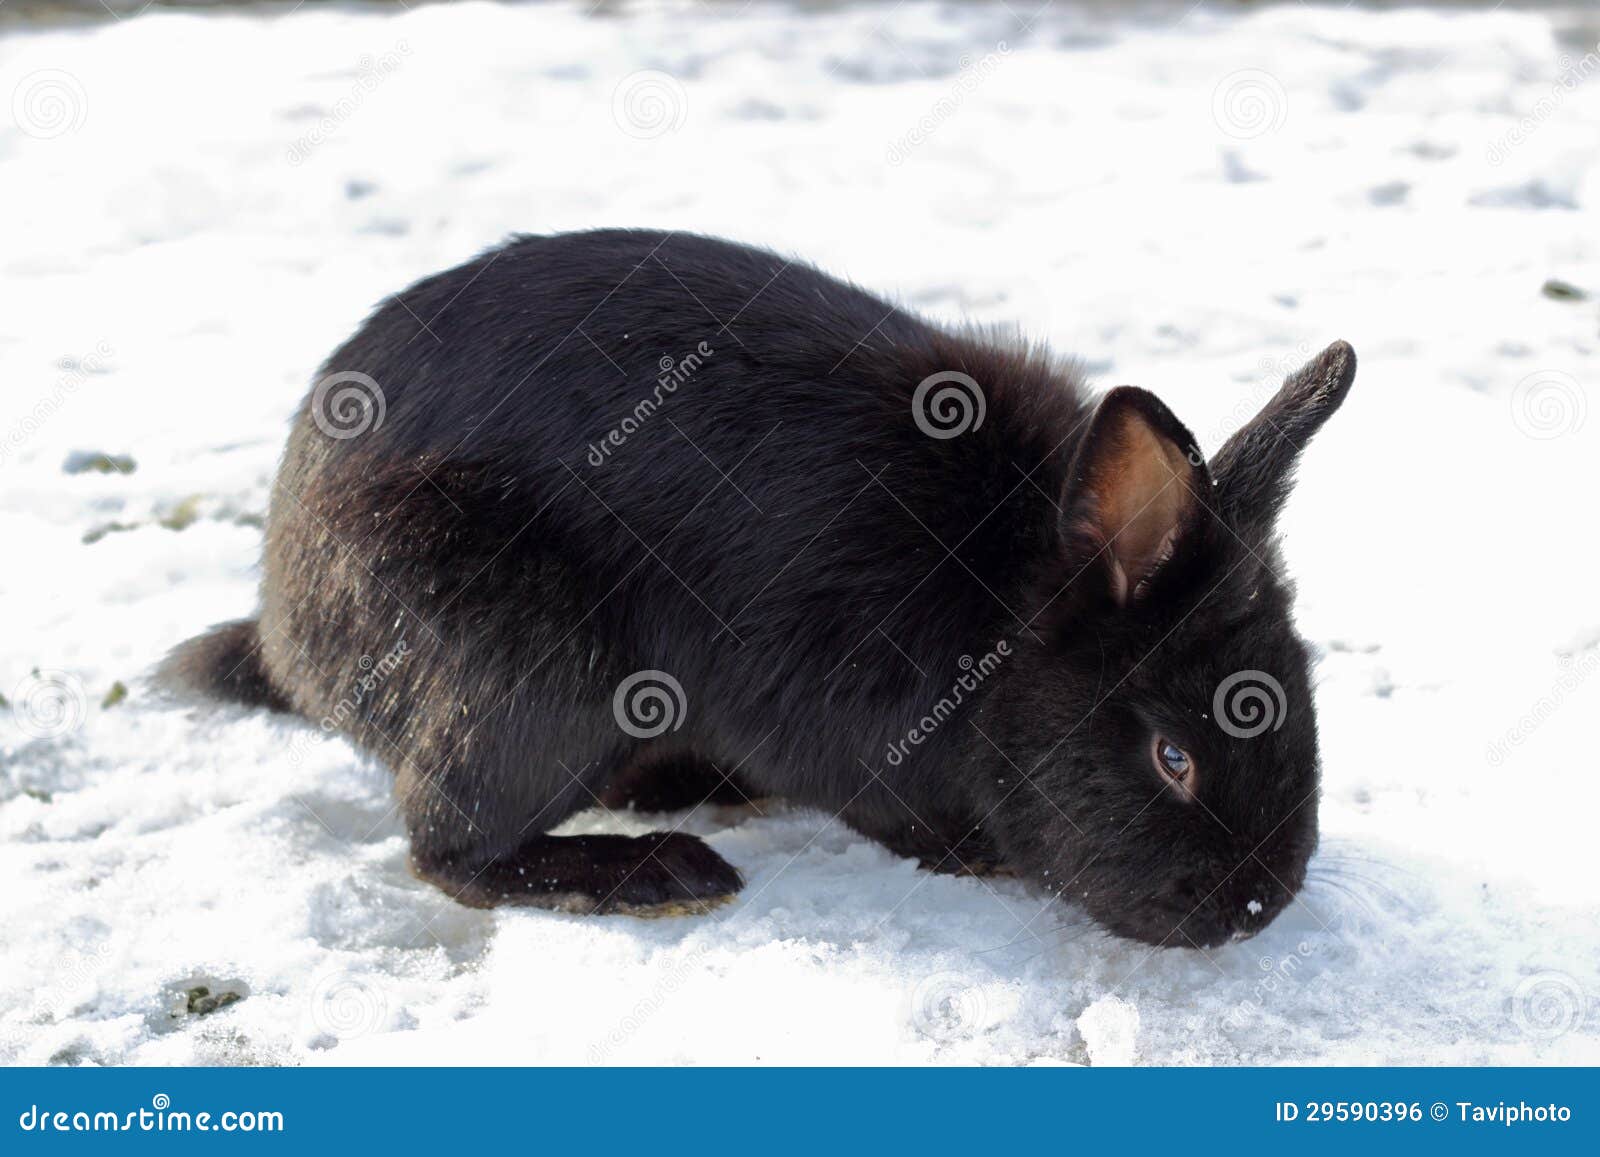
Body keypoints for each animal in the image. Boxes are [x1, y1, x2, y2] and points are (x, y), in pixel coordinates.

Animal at [161, 229, 1356, 946]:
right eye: (1172, 757)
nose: (1255, 904)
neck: (1004, 593)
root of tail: (288, 626)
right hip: (529, 666)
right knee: (451, 846)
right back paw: (657, 871)